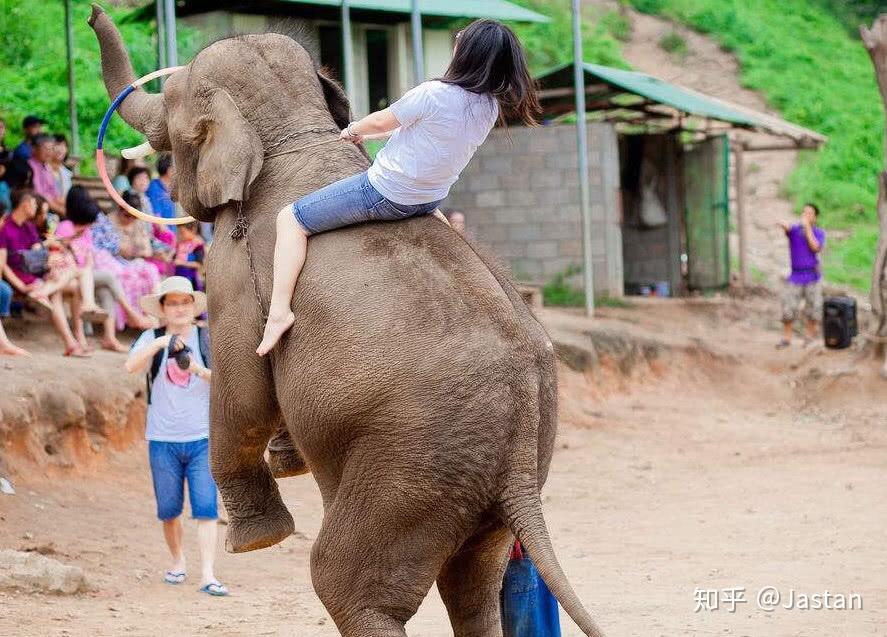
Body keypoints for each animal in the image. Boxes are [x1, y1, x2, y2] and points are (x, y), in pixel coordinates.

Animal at [89, 5, 604, 636]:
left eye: (174, 107)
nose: (93, 13)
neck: (294, 127)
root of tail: (521, 458)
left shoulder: (230, 270)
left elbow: (242, 388)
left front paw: (254, 541)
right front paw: (287, 462)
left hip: (411, 466)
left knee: (347, 583)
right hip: (477, 482)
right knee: (474, 587)